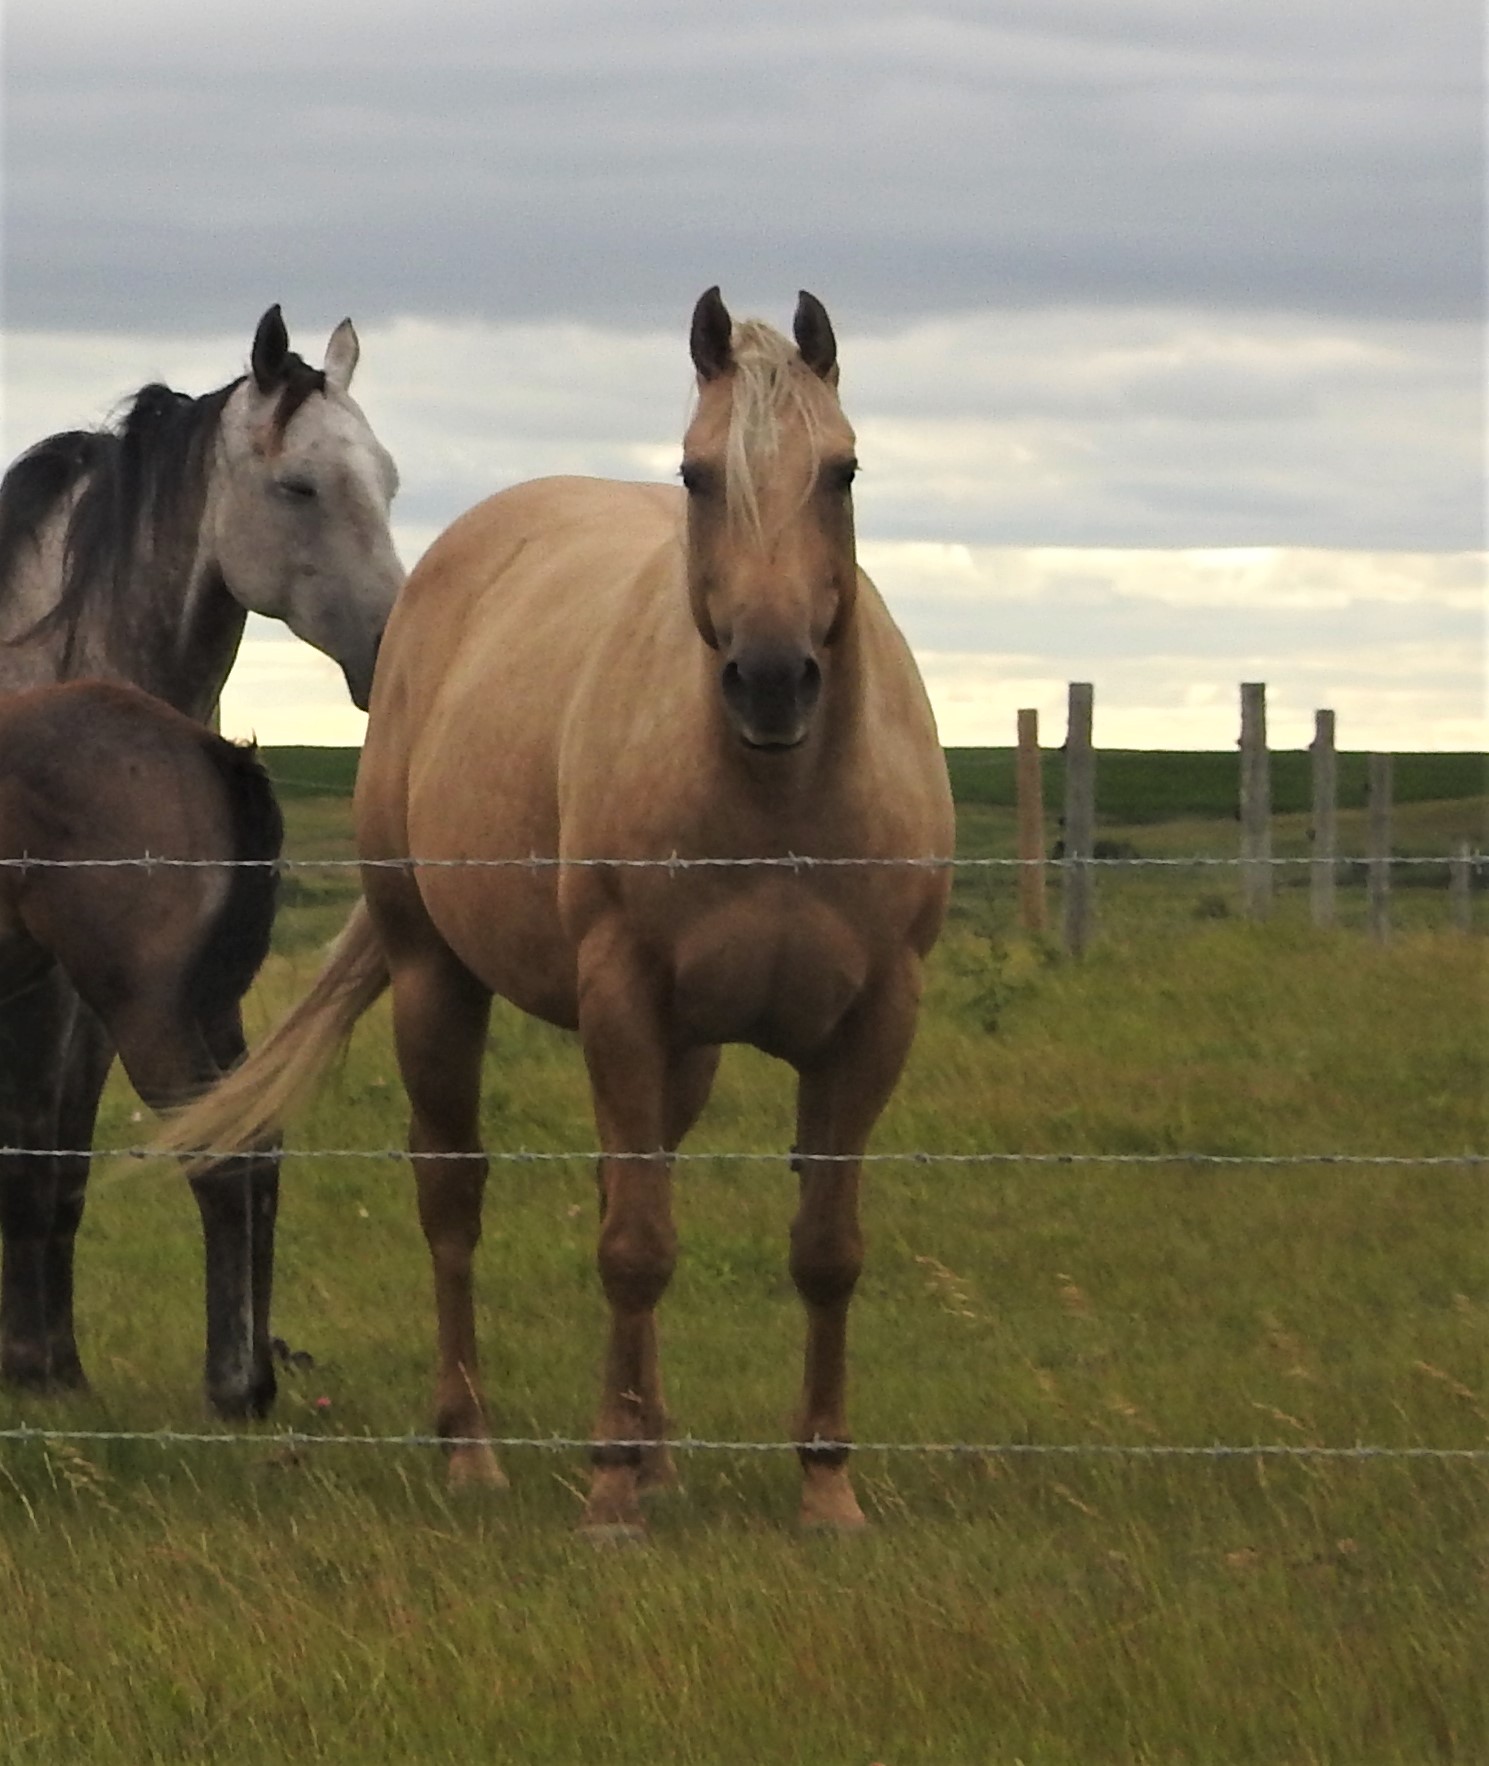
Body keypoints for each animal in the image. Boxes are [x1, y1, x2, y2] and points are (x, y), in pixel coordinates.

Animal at [0, 680, 283, 1413]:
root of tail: (209, 749)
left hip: (149, 1020)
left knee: (221, 1157)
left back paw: (231, 1384)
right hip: (210, 1011)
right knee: (261, 1143)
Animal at [160, 288, 956, 1533]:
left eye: (844, 470)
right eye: (693, 476)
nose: (772, 678)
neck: (778, 796)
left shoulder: (873, 1020)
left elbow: (822, 1248)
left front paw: (825, 1487)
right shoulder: (621, 995)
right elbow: (632, 1246)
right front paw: (611, 1490)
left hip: (682, 1051)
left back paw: (661, 1449)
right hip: (435, 976)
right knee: (454, 1193)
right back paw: (473, 1448)